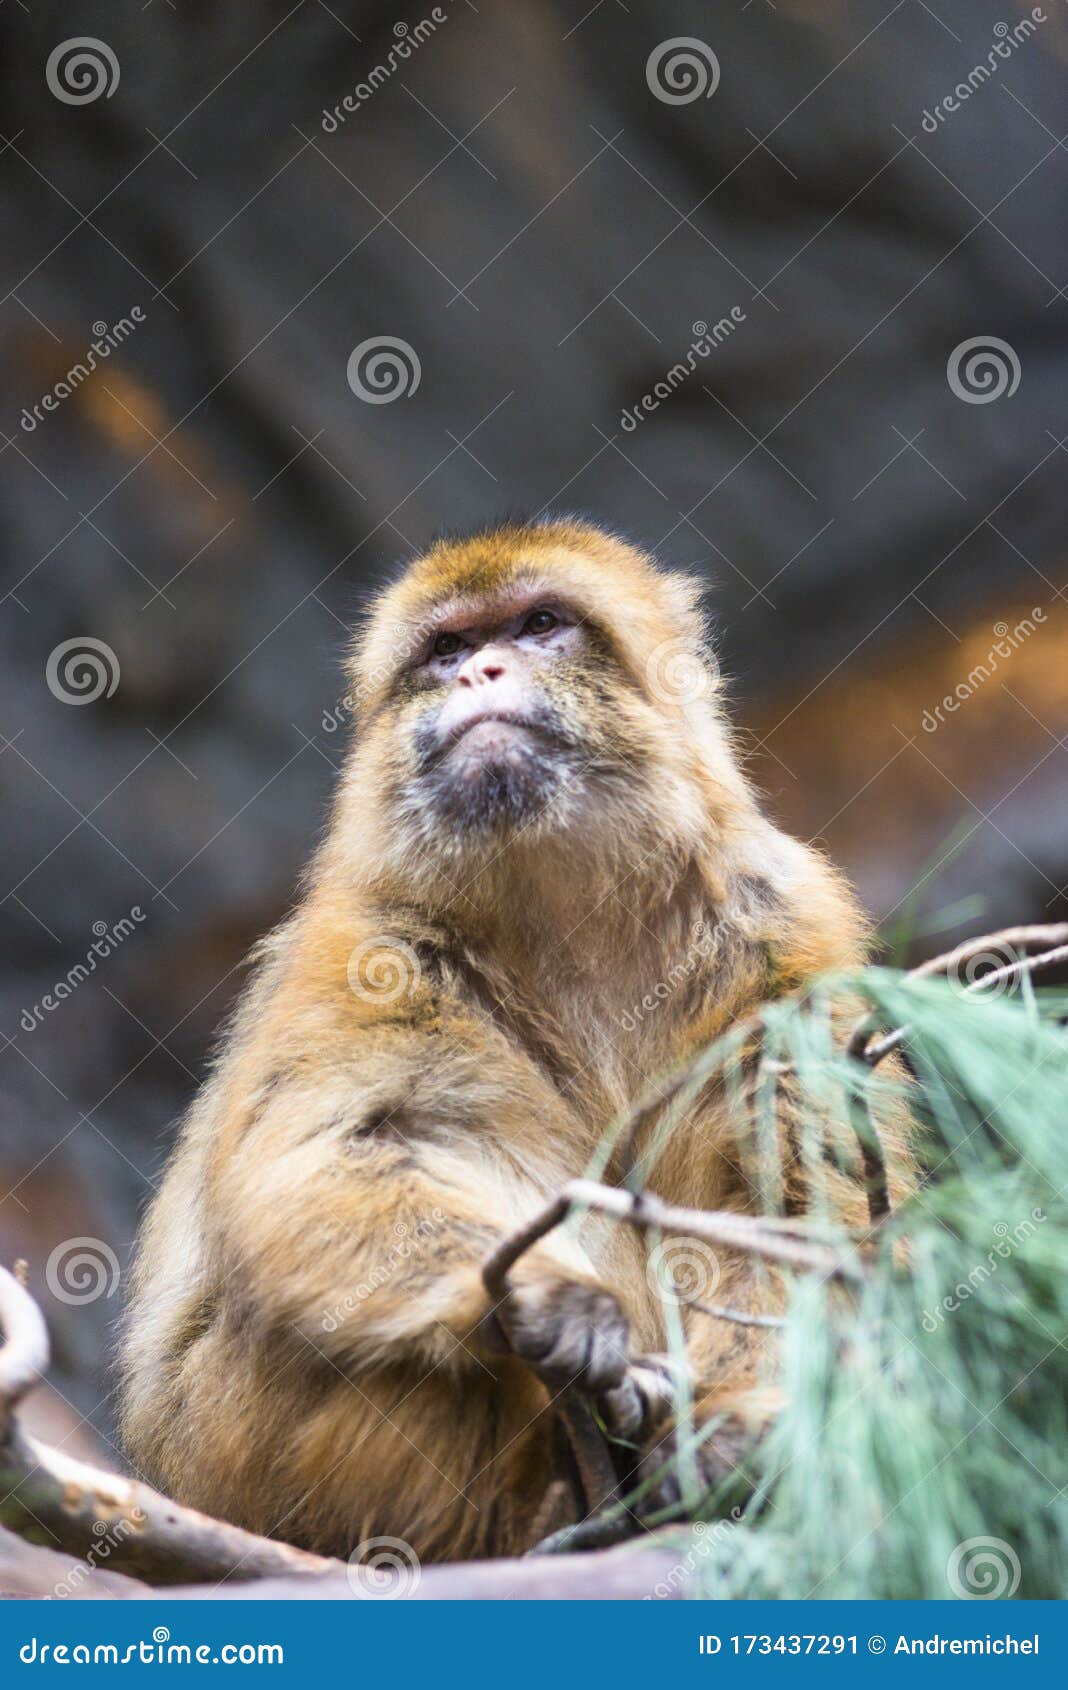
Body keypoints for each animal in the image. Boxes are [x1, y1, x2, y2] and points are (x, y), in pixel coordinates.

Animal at [119, 517, 912, 1563]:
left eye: (539, 626)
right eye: (446, 648)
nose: (479, 671)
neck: (562, 901)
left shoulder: (784, 931)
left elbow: (796, 1204)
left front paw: (729, 1427)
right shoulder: (367, 943)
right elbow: (319, 1158)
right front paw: (544, 1295)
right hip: (233, 1442)